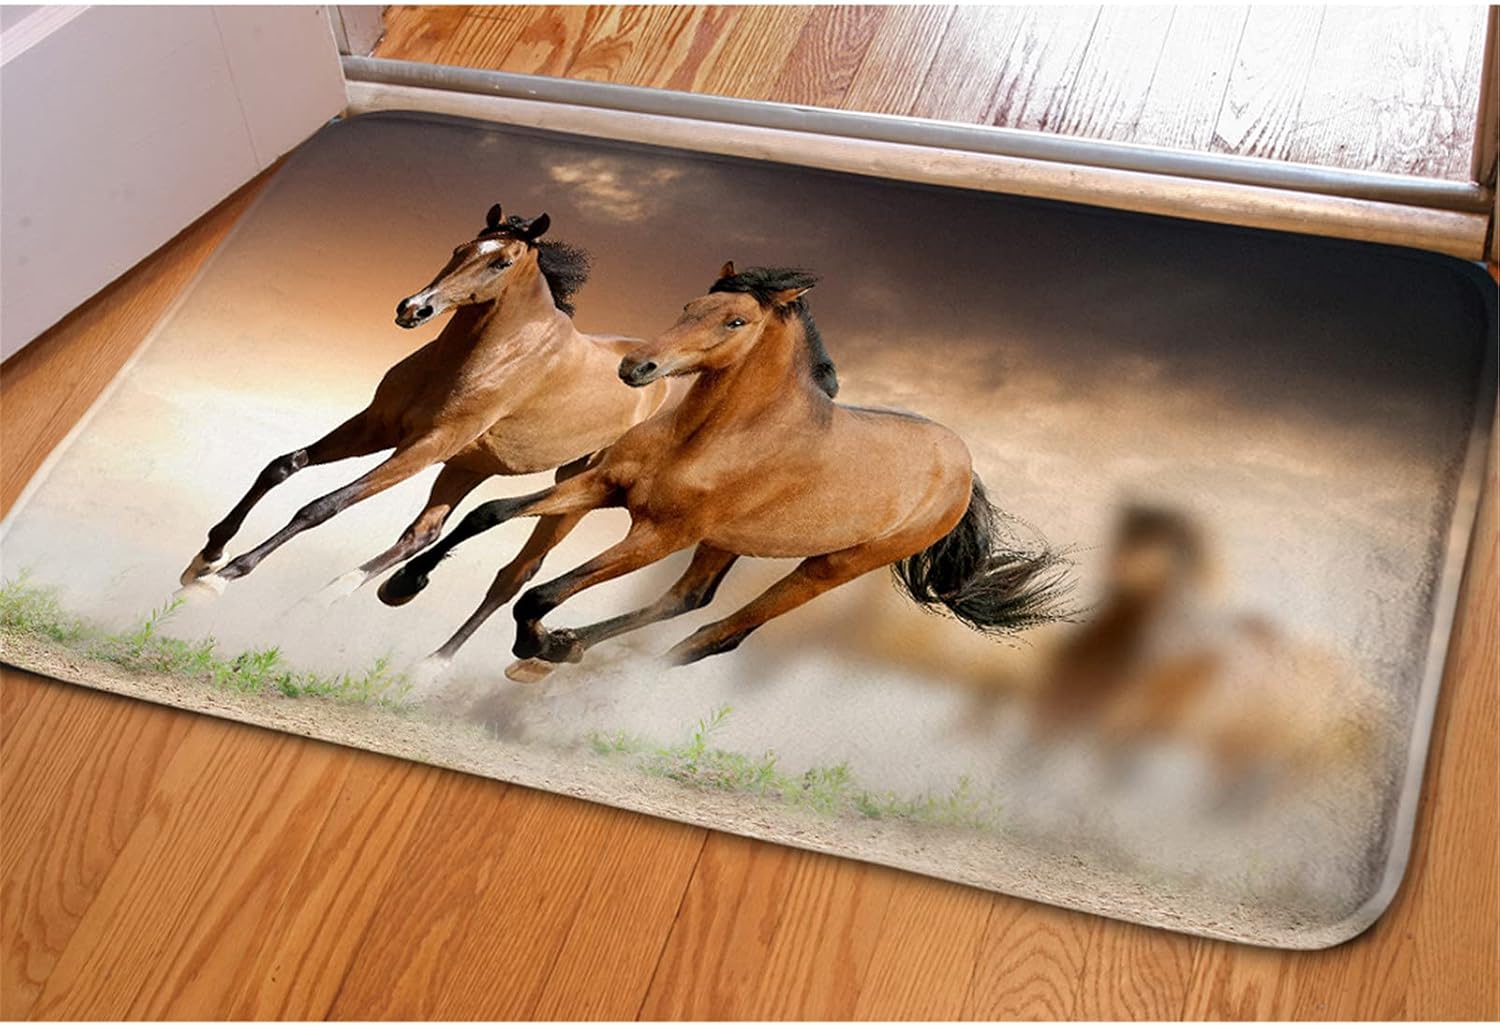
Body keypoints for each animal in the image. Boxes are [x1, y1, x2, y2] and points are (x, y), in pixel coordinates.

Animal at [177, 204, 668, 607]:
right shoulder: (378, 426)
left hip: (576, 486)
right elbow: (282, 466)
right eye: (460, 248)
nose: (413, 309)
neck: (485, 356)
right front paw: (207, 557)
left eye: (502, 261)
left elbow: (324, 505)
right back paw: (357, 588)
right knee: (425, 532)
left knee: (521, 569)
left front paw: (225, 575)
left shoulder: (423, 447)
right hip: (470, 465)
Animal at [381, 263, 1070, 682]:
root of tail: (962, 465)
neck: (708, 436)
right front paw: (403, 585)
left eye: (735, 321)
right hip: (727, 542)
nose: (638, 367)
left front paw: (540, 641)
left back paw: (565, 665)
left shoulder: (659, 534)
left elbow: (541, 592)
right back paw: (565, 653)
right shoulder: (605, 487)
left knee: (719, 633)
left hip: (830, 567)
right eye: (690, 304)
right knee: (689, 599)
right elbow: (489, 513)